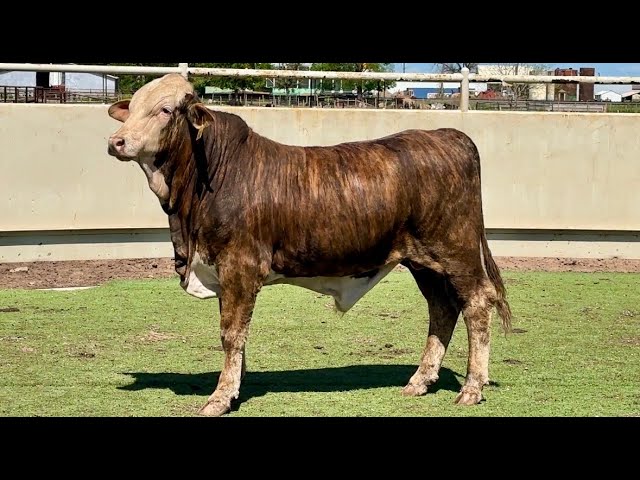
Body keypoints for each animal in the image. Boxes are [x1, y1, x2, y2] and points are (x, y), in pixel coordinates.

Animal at [107, 73, 512, 417]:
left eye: (165, 109)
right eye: (133, 106)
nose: (116, 142)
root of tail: (448, 134)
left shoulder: (240, 265)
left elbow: (231, 332)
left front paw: (220, 397)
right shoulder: (223, 271)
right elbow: (237, 333)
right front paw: (236, 385)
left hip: (456, 249)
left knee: (477, 303)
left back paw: (472, 388)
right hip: (422, 261)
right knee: (442, 308)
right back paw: (420, 381)